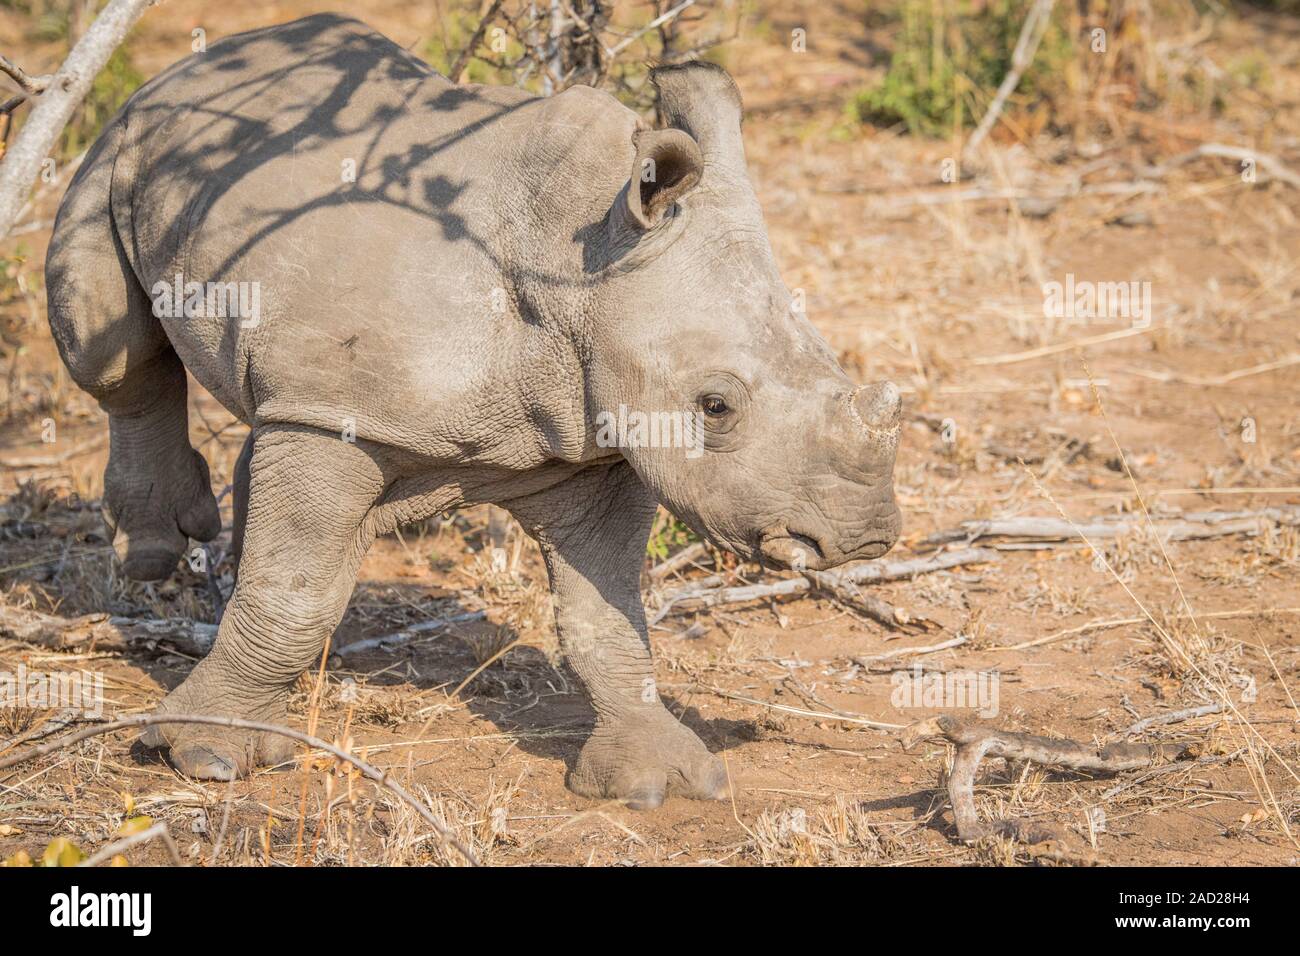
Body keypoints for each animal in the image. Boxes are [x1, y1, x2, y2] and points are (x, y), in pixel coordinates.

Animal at [46, 13, 902, 808]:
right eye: (716, 406)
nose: (865, 538)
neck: (582, 269)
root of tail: (205, 58)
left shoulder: (595, 436)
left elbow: (607, 613)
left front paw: (658, 784)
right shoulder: (340, 416)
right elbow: (292, 591)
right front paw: (207, 757)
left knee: (264, 422)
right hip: (120, 138)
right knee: (111, 352)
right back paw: (153, 561)